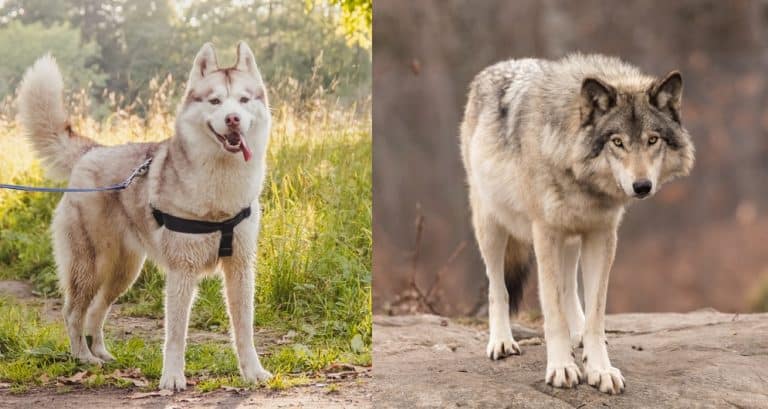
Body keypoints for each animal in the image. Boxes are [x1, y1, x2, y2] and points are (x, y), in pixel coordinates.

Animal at [17, 42, 273, 390]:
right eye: (215, 101)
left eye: (244, 100)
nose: (233, 119)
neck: (221, 190)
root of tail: (92, 151)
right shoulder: (182, 271)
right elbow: (176, 335)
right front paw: (173, 377)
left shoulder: (240, 268)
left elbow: (244, 330)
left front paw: (253, 372)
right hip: (90, 268)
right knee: (73, 313)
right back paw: (82, 357)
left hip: (124, 272)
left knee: (96, 311)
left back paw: (100, 352)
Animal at [459, 54, 694, 394]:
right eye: (617, 142)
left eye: (652, 140)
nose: (642, 186)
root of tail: (496, 66)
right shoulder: (545, 233)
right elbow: (552, 312)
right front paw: (561, 367)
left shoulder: (601, 235)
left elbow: (595, 314)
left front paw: (600, 369)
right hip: (492, 225)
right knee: (497, 287)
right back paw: (502, 342)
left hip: (571, 238)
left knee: (569, 287)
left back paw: (577, 333)